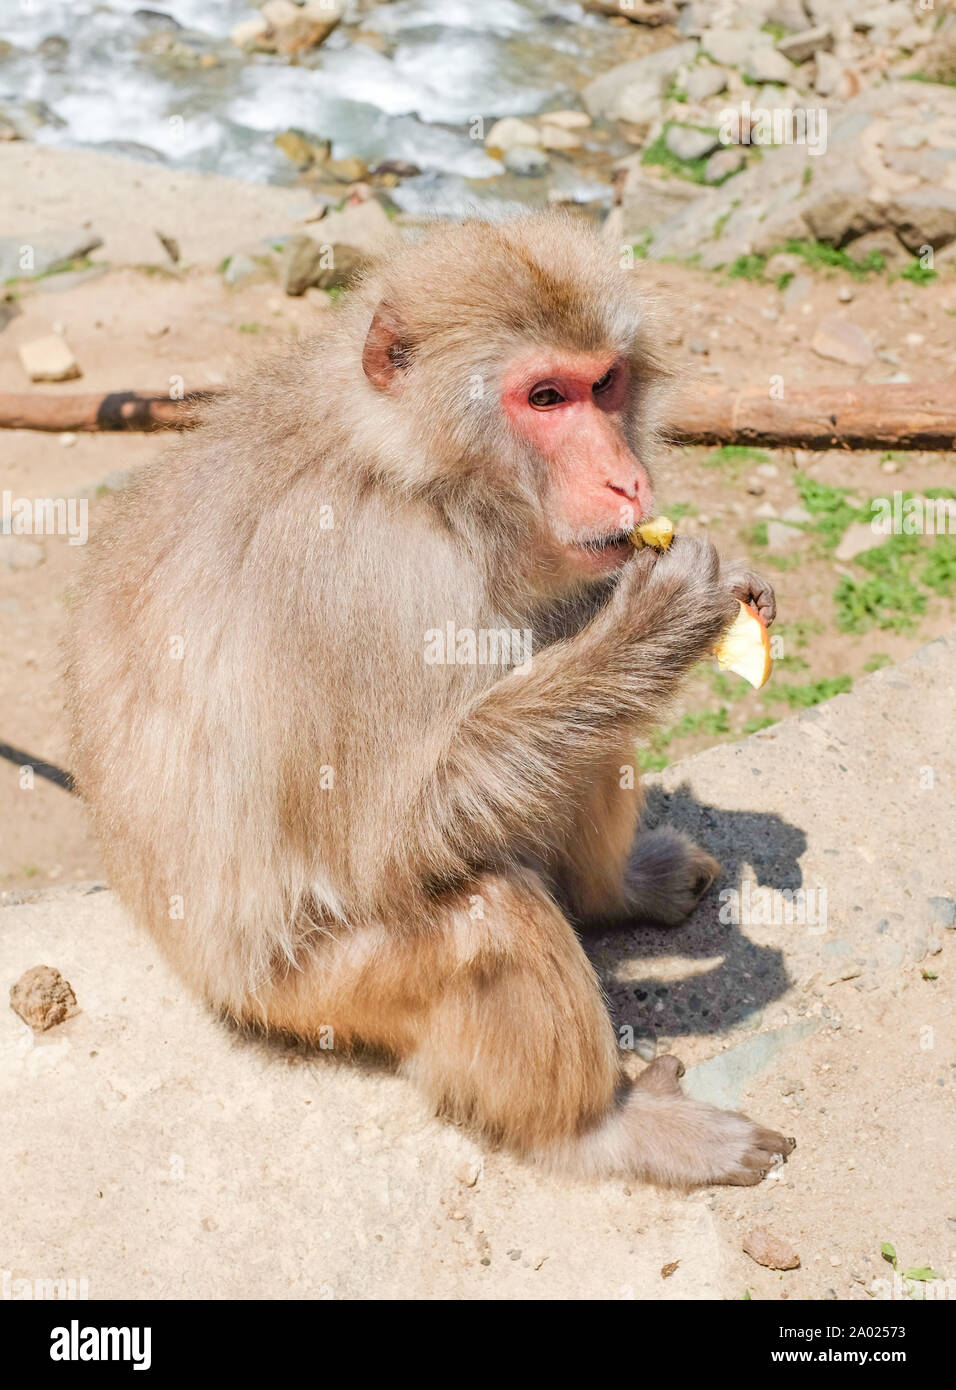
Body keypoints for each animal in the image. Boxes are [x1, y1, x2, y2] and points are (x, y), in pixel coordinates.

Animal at [65, 212, 793, 1188]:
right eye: (546, 398)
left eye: (605, 385)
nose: (628, 482)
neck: (424, 483)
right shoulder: (356, 577)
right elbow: (383, 839)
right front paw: (662, 616)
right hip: (309, 992)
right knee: (490, 914)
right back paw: (598, 1129)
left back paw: (612, 894)